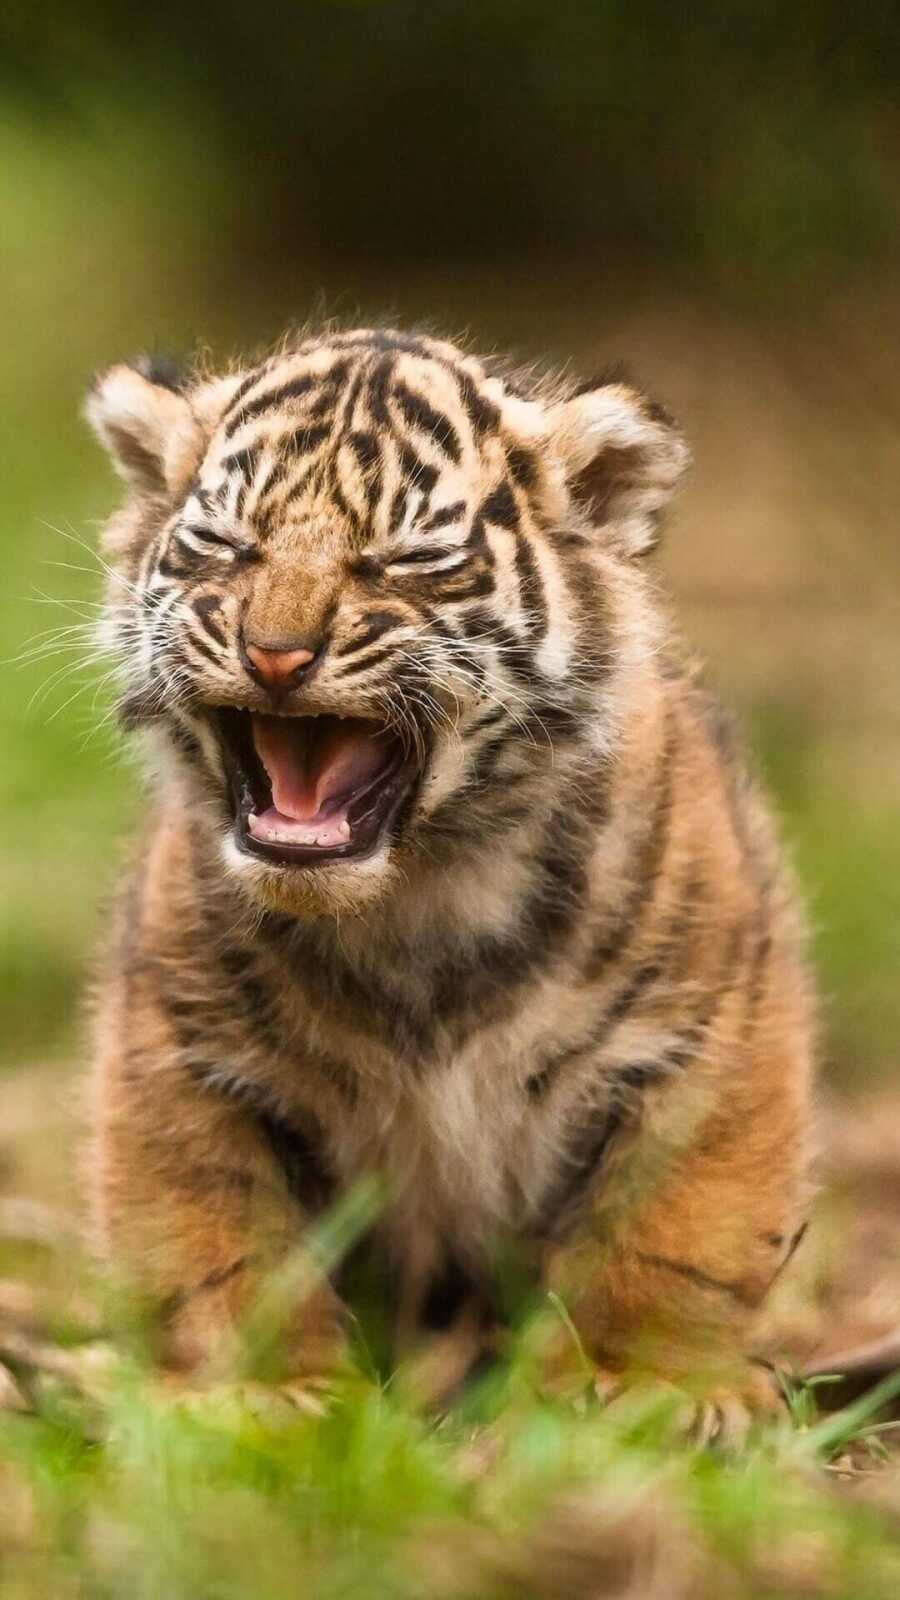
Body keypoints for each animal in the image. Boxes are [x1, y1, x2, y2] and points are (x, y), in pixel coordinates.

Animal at [83, 326, 815, 1441]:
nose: (275, 654)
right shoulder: (179, 1047)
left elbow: (676, 1225)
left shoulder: (710, 1028)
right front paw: (260, 1391)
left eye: (405, 562)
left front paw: (648, 1385)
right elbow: (217, 1238)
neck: (416, 892)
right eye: (225, 546)